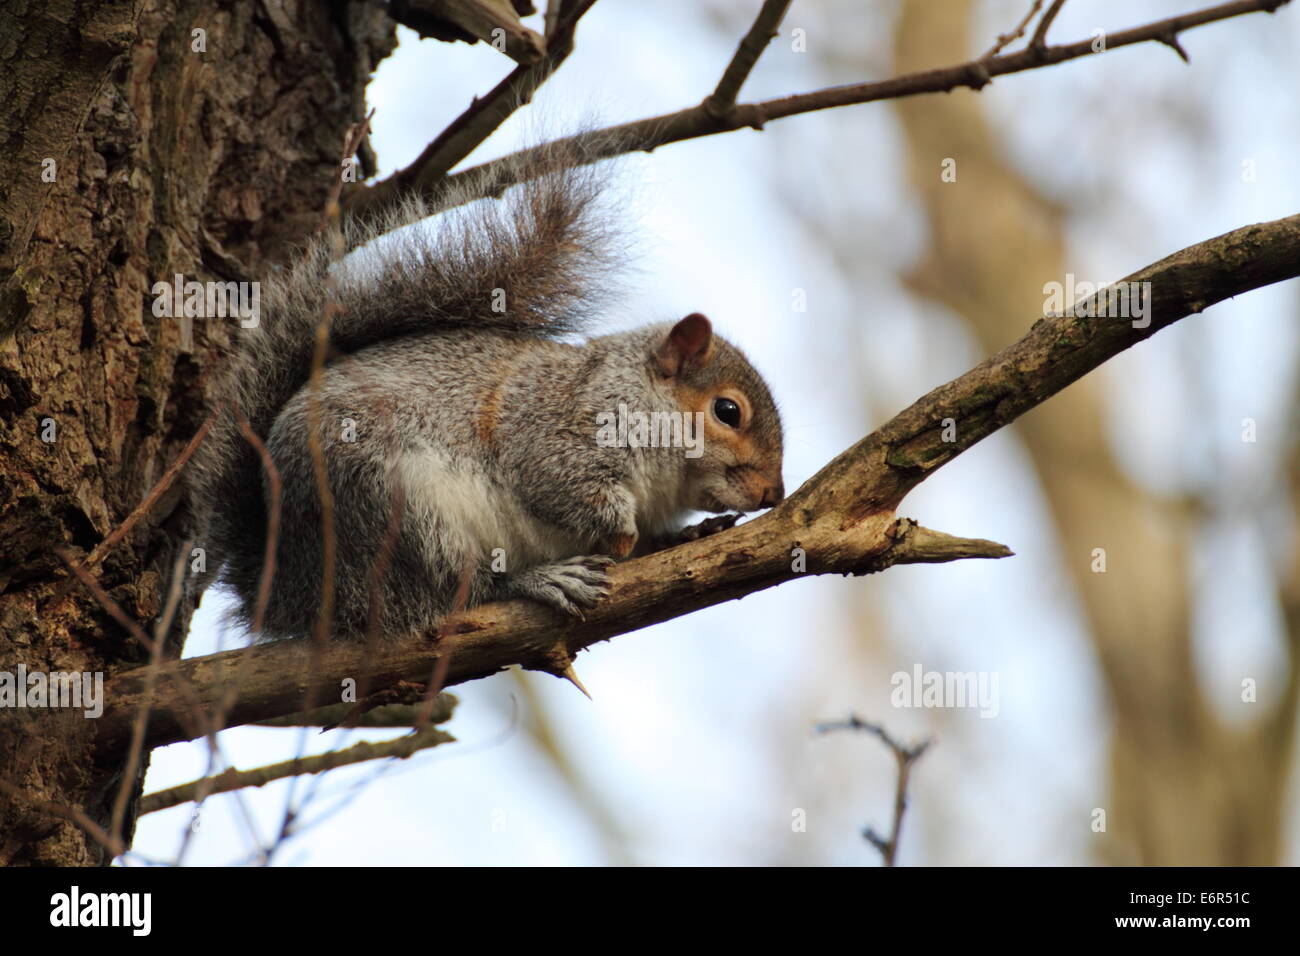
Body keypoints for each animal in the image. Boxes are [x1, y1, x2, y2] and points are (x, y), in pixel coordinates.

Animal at [190, 141, 785, 641]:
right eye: (727, 411)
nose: (772, 495)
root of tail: (296, 593)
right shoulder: (557, 424)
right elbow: (562, 485)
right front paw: (619, 533)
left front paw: (684, 537)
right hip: (391, 504)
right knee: (456, 593)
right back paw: (538, 580)